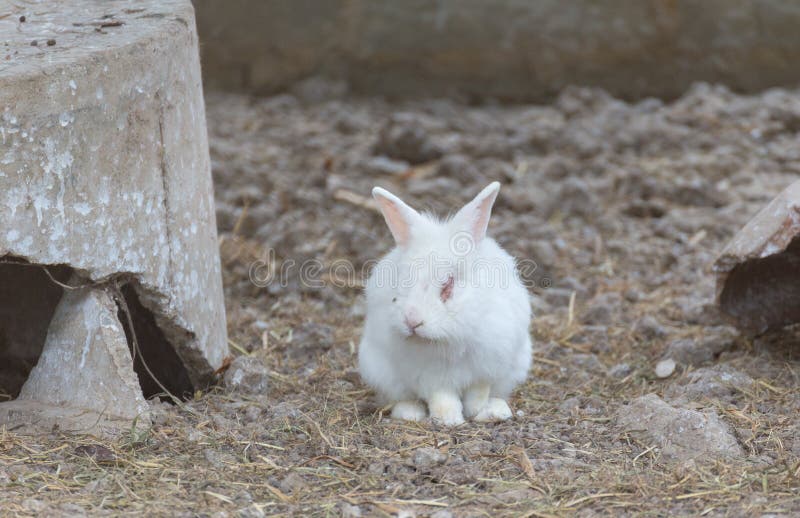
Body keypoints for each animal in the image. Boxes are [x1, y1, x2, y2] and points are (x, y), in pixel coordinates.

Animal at [358, 182, 532, 426]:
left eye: (448, 284)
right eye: (401, 281)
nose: (412, 320)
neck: (449, 338)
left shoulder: (487, 367)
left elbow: (478, 394)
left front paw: (478, 413)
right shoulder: (432, 376)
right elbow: (441, 396)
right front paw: (449, 419)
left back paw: (498, 409)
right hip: (380, 369)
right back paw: (410, 413)